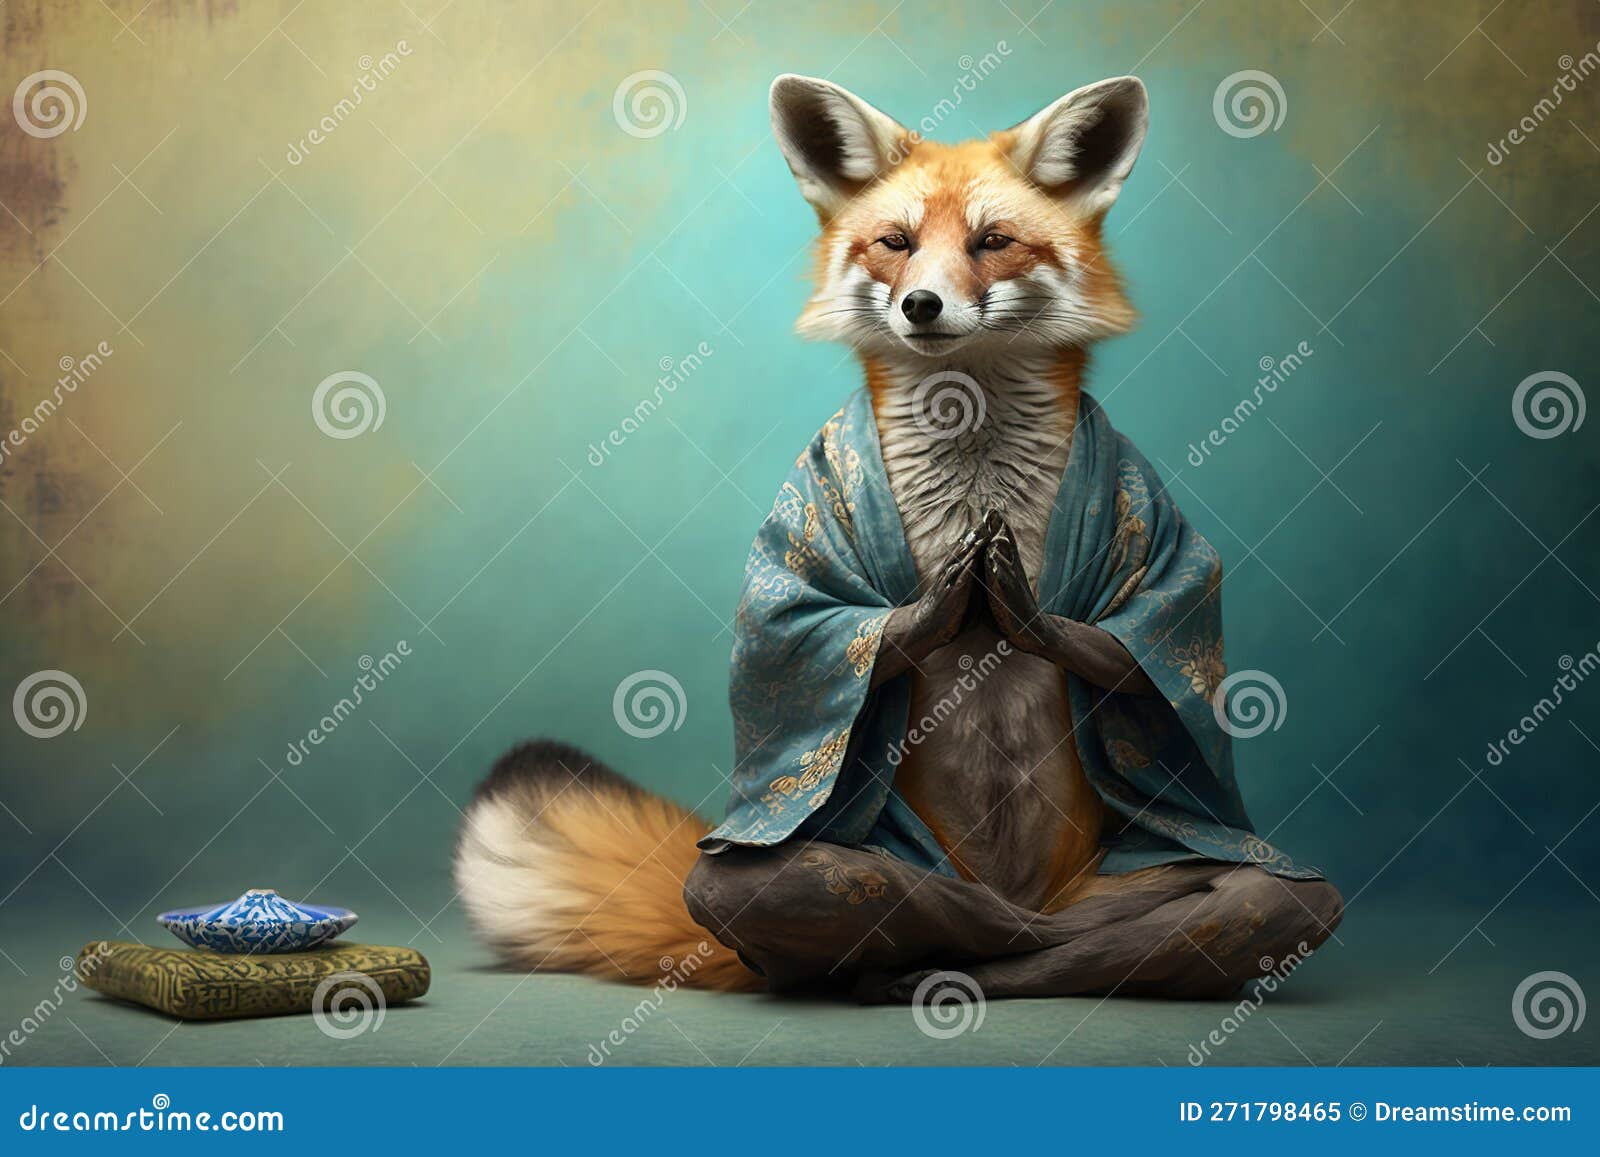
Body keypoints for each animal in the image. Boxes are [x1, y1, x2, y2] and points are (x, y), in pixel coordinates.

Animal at [455, 74, 1343, 1002]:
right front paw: (934, 612)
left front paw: (1027, 615)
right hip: (831, 866)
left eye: (993, 242)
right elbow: (803, 642)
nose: (922, 303)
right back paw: (914, 961)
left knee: (1239, 902)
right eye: (897, 243)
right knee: (824, 900)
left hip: (1168, 879)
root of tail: (1020, 895)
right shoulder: (804, 539)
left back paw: (1014, 954)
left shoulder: (1148, 517)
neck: (975, 467)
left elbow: (1152, 649)